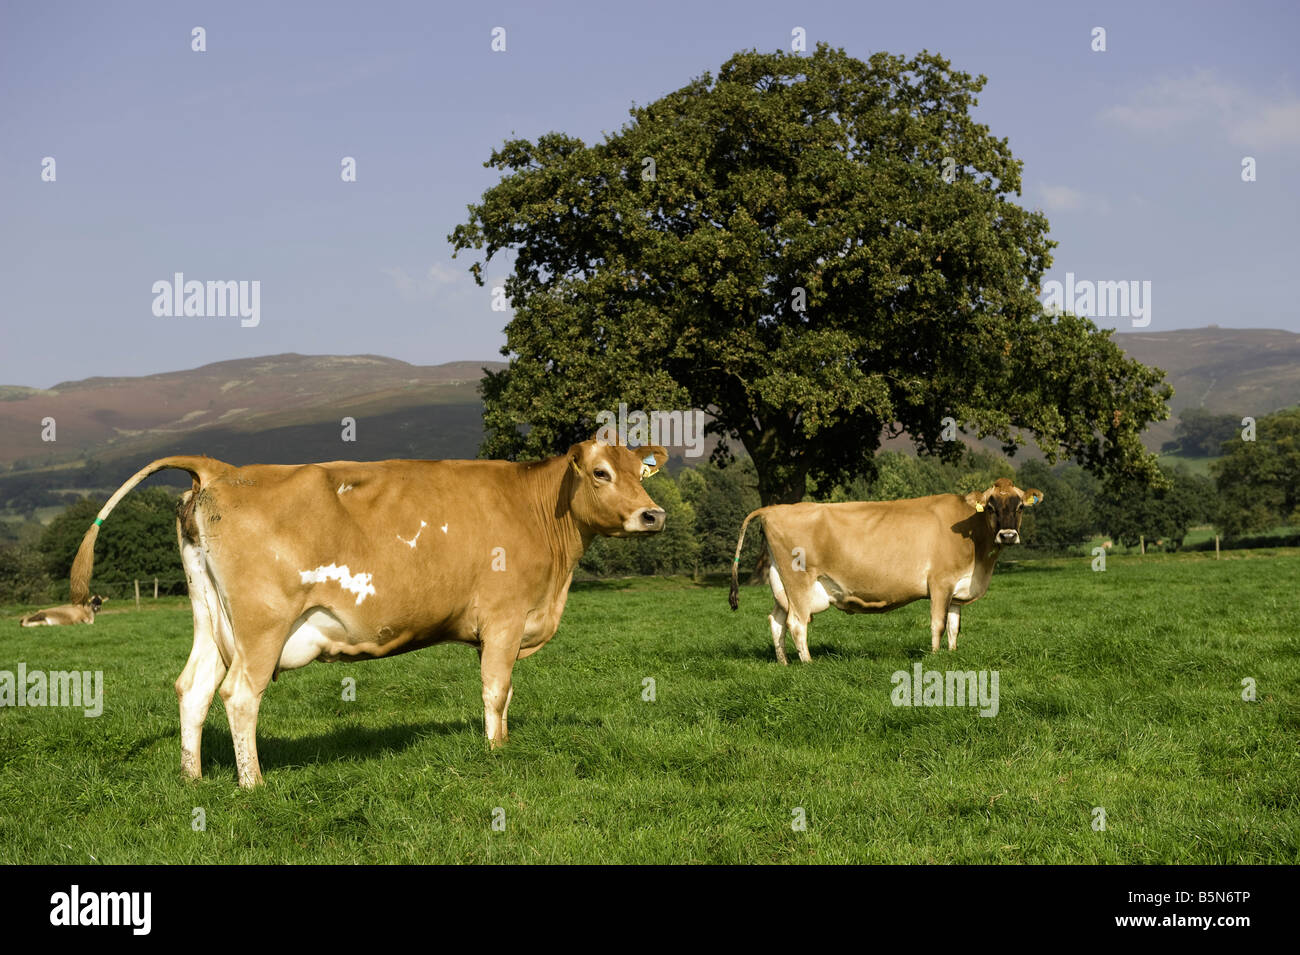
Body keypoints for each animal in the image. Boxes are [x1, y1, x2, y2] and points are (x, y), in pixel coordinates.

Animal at [69, 438, 669, 787]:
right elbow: (497, 690)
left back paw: (192, 780)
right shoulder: (504, 617)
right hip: (263, 625)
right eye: (600, 473)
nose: (653, 515)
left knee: (193, 688)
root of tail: (222, 469)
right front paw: (498, 753)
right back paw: (253, 784)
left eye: (641, 472)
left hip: (211, 618)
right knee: (238, 695)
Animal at [728, 478, 1043, 662]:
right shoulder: (940, 582)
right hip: (800, 582)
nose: (1007, 535)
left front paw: (952, 654)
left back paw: (783, 663)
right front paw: (935, 657)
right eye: (990, 506)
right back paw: (808, 664)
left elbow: (954, 625)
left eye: (1020, 507)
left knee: (777, 620)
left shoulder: (957, 588)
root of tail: (773, 509)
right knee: (797, 623)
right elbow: (938, 624)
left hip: (780, 583)